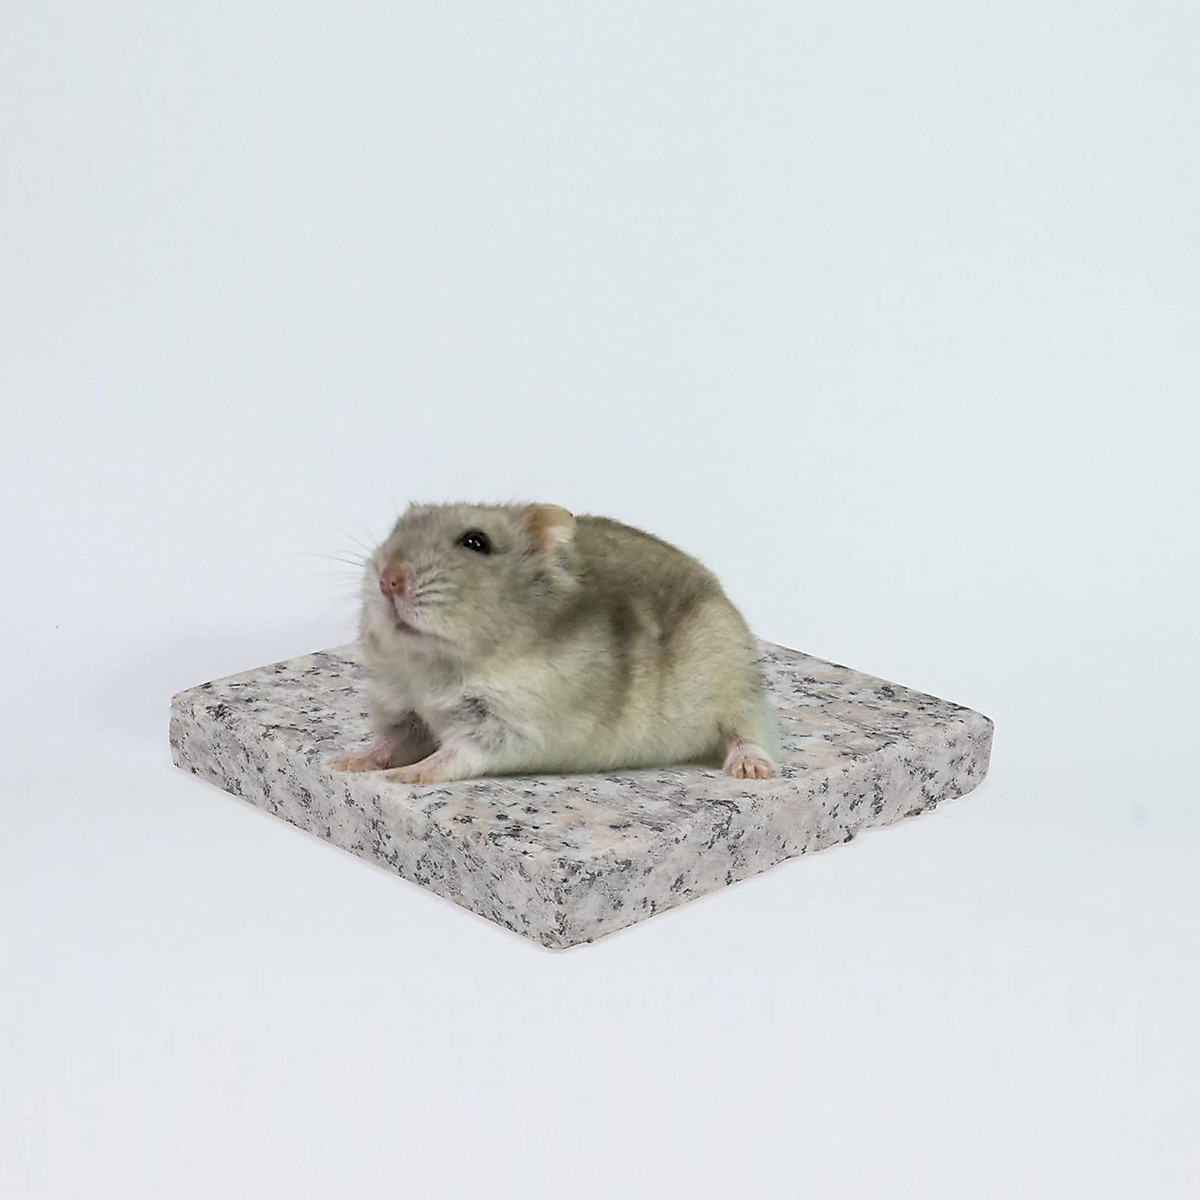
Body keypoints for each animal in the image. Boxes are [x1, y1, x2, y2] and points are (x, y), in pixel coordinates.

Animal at [329, 502, 779, 784]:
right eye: (395, 531)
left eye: (476, 542)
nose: (388, 579)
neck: (434, 665)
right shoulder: (404, 709)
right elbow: (388, 743)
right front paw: (340, 763)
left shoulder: (510, 727)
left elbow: (453, 754)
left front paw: (403, 776)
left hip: (737, 680)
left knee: (748, 732)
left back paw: (751, 771)